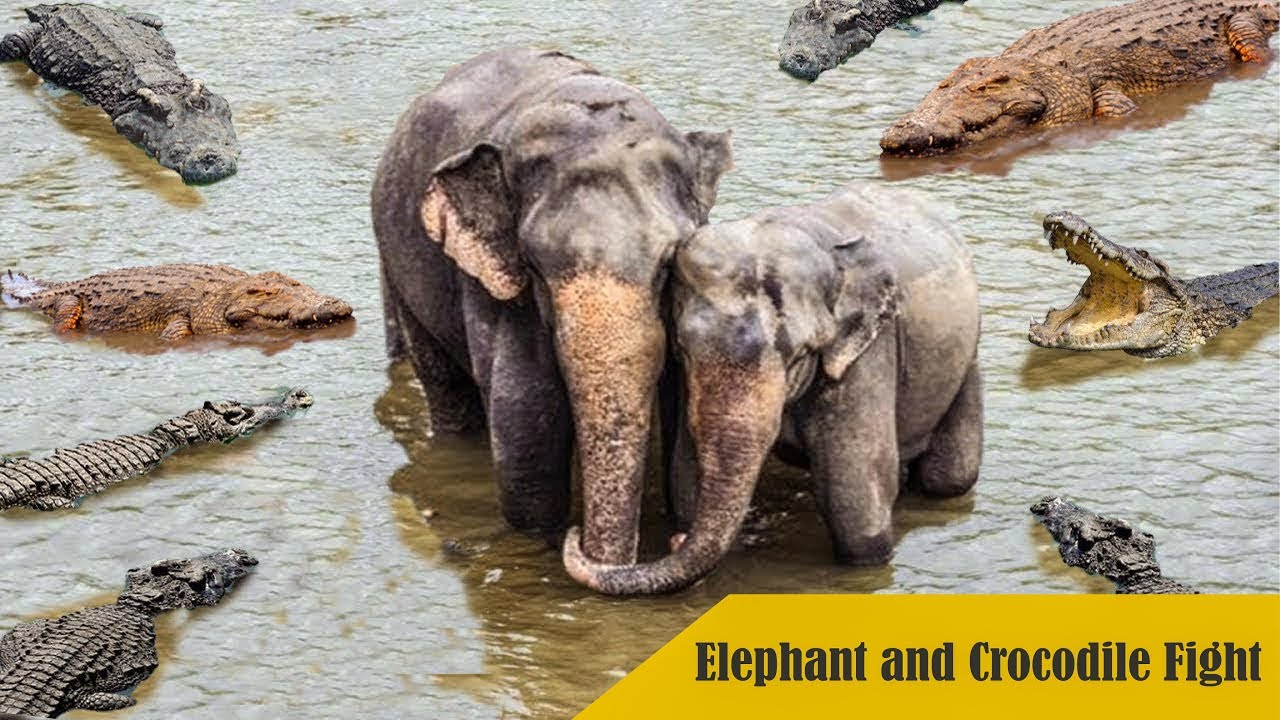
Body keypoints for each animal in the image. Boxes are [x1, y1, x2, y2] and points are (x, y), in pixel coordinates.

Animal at [371, 48, 734, 565]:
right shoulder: (494, 287)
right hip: (398, 262)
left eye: (669, 265)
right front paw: (542, 545)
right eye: (537, 267)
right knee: (443, 384)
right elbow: (525, 420)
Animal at [563, 183, 983, 594]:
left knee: (949, 476)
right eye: (682, 348)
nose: (674, 542)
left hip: (968, 352)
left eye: (800, 353)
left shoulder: (867, 355)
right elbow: (685, 471)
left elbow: (855, 488)